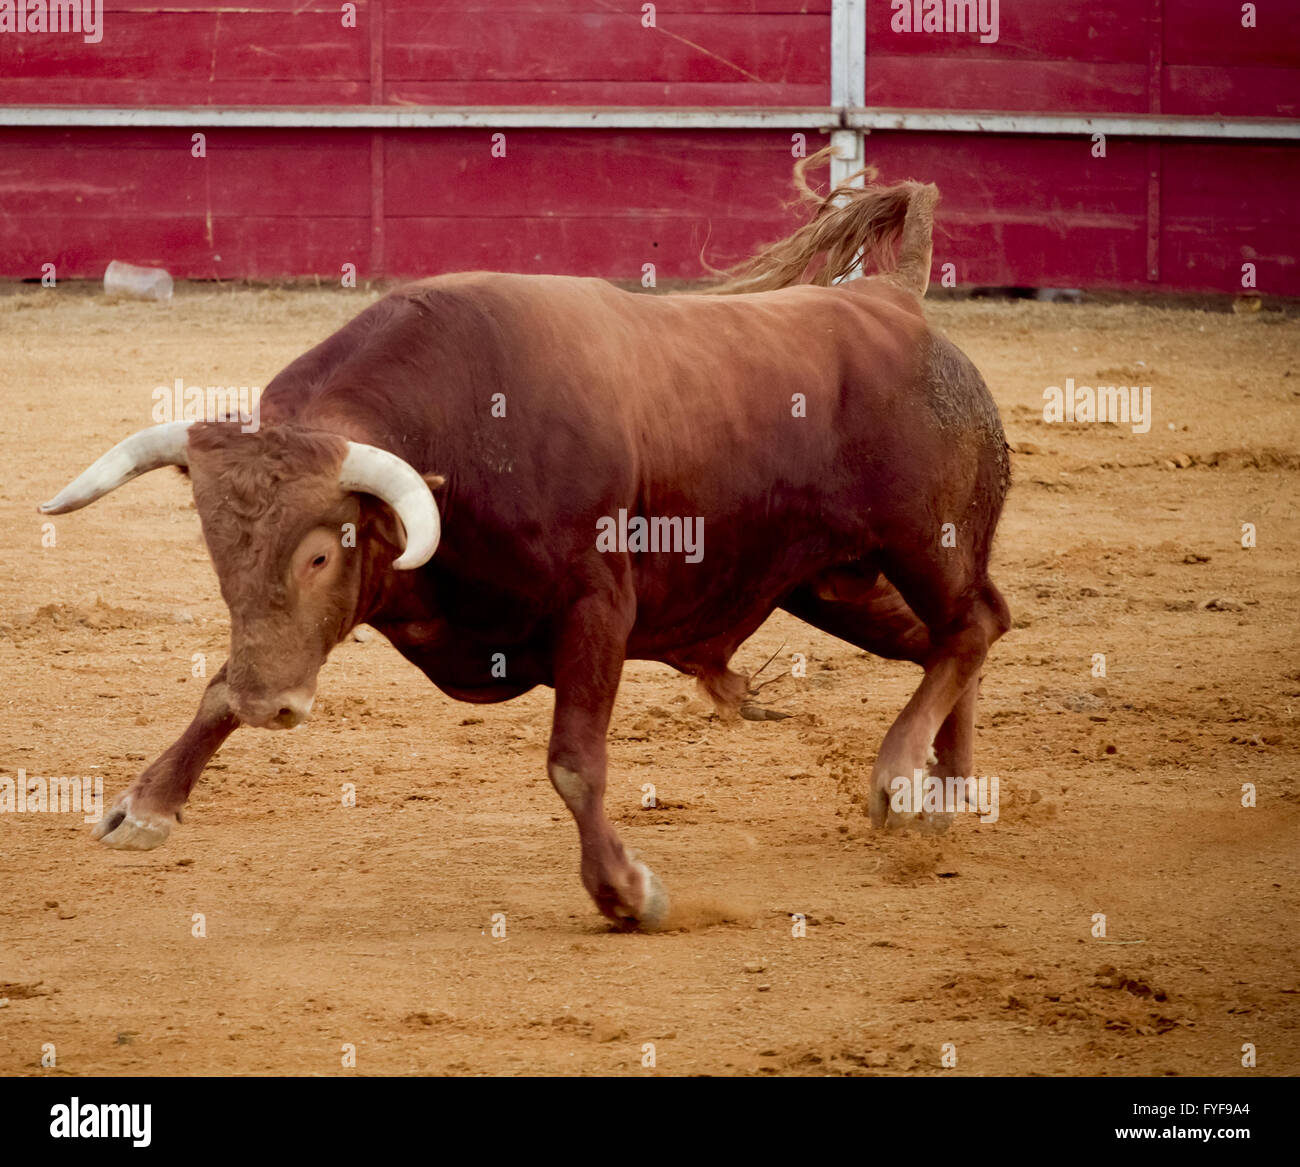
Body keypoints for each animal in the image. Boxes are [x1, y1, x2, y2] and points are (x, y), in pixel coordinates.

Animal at [40, 154, 1011, 927]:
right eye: (219, 550)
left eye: (320, 552)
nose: (270, 705)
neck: (461, 430)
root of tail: (897, 301)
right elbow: (213, 685)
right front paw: (144, 807)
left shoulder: (598, 605)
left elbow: (574, 763)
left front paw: (627, 892)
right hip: (832, 583)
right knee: (944, 640)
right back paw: (947, 789)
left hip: (927, 542)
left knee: (974, 622)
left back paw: (899, 775)